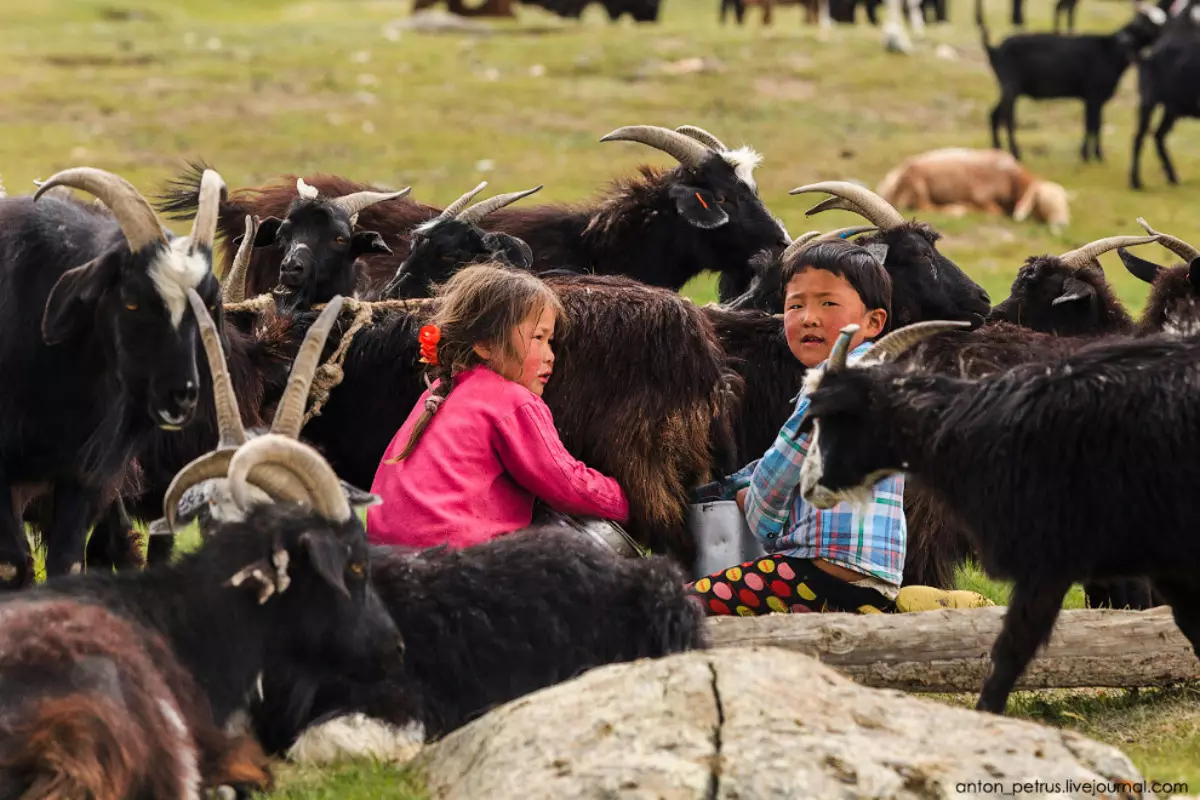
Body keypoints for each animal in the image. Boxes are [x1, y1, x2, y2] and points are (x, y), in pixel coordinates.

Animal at [0, 165, 226, 587]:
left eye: (207, 303)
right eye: (132, 300)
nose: (182, 396)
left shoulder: (85, 473)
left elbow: (67, 563)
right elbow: (12, 566)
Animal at [979, 0, 1166, 163]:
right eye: (1151, 24)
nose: (1167, 36)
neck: (1112, 50)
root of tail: (994, 50)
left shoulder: (1093, 98)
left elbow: (1092, 124)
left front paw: (1091, 155)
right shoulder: (1094, 95)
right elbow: (1093, 126)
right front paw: (1093, 156)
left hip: (1008, 88)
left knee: (994, 114)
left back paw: (997, 151)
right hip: (1011, 86)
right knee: (1007, 118)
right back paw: (1015, 153)